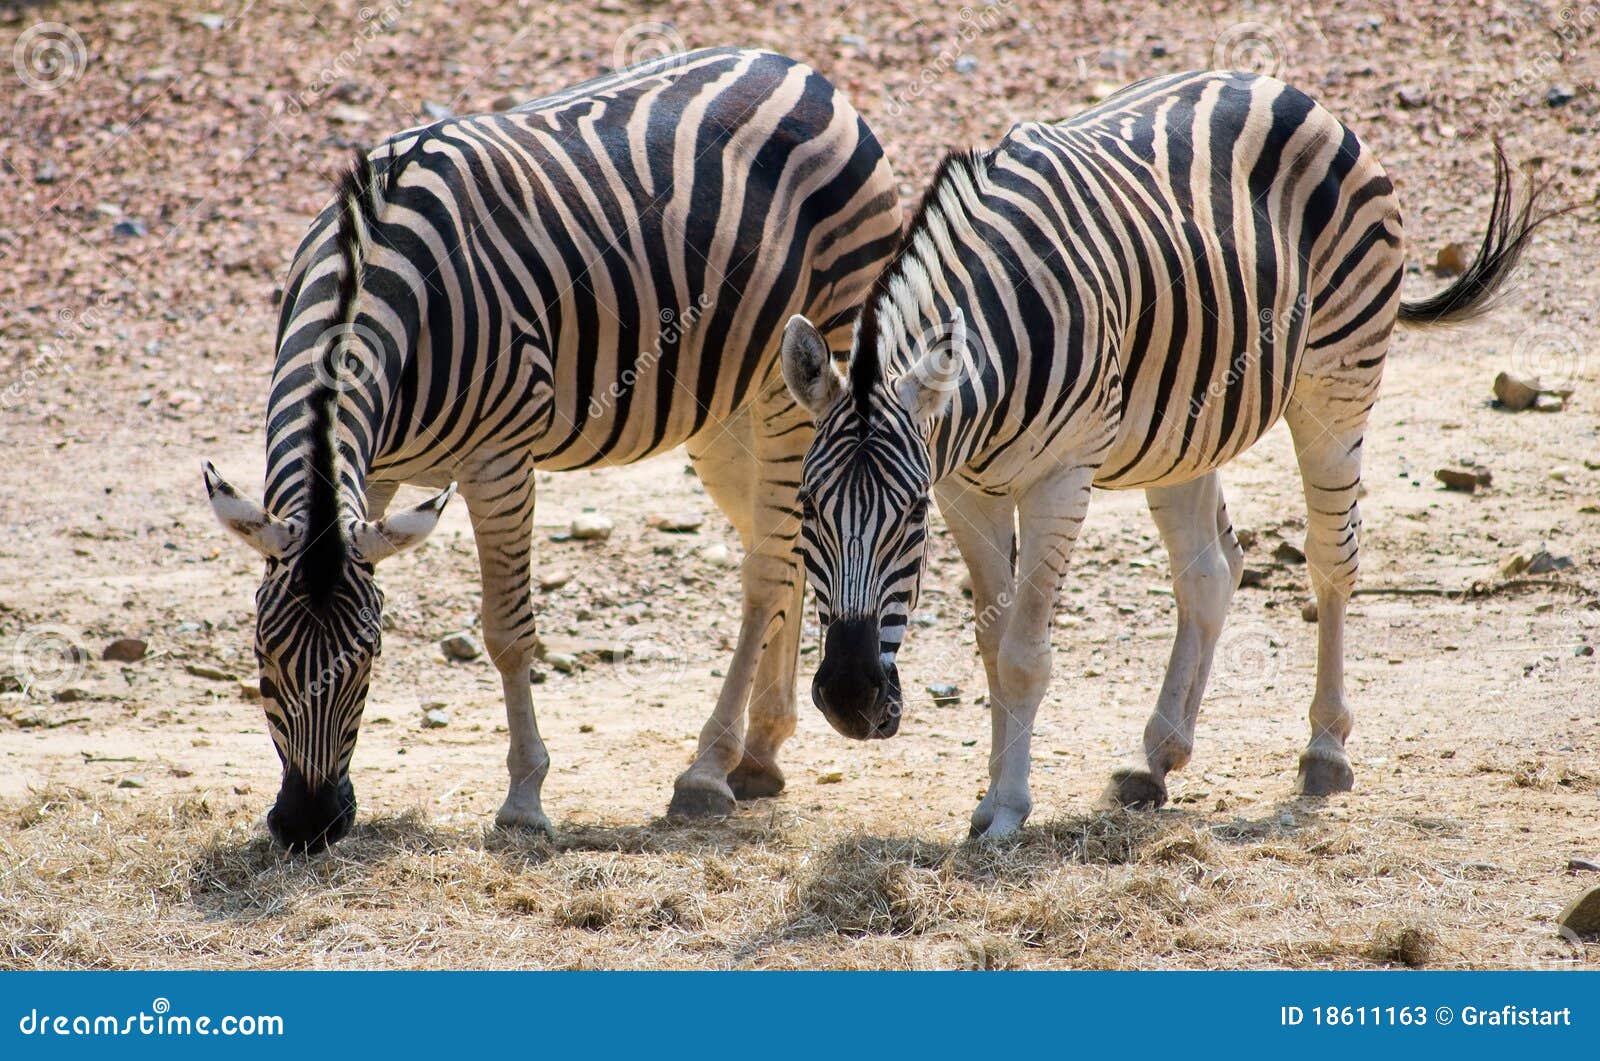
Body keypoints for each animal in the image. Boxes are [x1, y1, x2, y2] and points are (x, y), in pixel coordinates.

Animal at [203, 47, 901, 850]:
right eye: (261, 654)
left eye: (367, 656)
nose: (309, 823)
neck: (377, 267)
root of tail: (799, 68)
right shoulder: (370, 476)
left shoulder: (499, 463)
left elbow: (508, 634)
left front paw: (524, 799)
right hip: (730, 408)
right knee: (783, 545)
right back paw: (760, 750)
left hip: (808, 365)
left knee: (765, 568)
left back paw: (709, 767)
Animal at [779, 70, 1555, 838]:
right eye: (808, 507)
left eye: (908, 517)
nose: (849, 698)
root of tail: (1283, 86)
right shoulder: (966, 491)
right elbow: (993, 646)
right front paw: (992, 797)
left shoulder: (1058, 477)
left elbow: (1024, 655)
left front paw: (1008, 810)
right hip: (1190, 424)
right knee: (1211, 573)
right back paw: (1156, 758)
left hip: (1338, 377)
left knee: (1332, 557)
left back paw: (1325, 749)